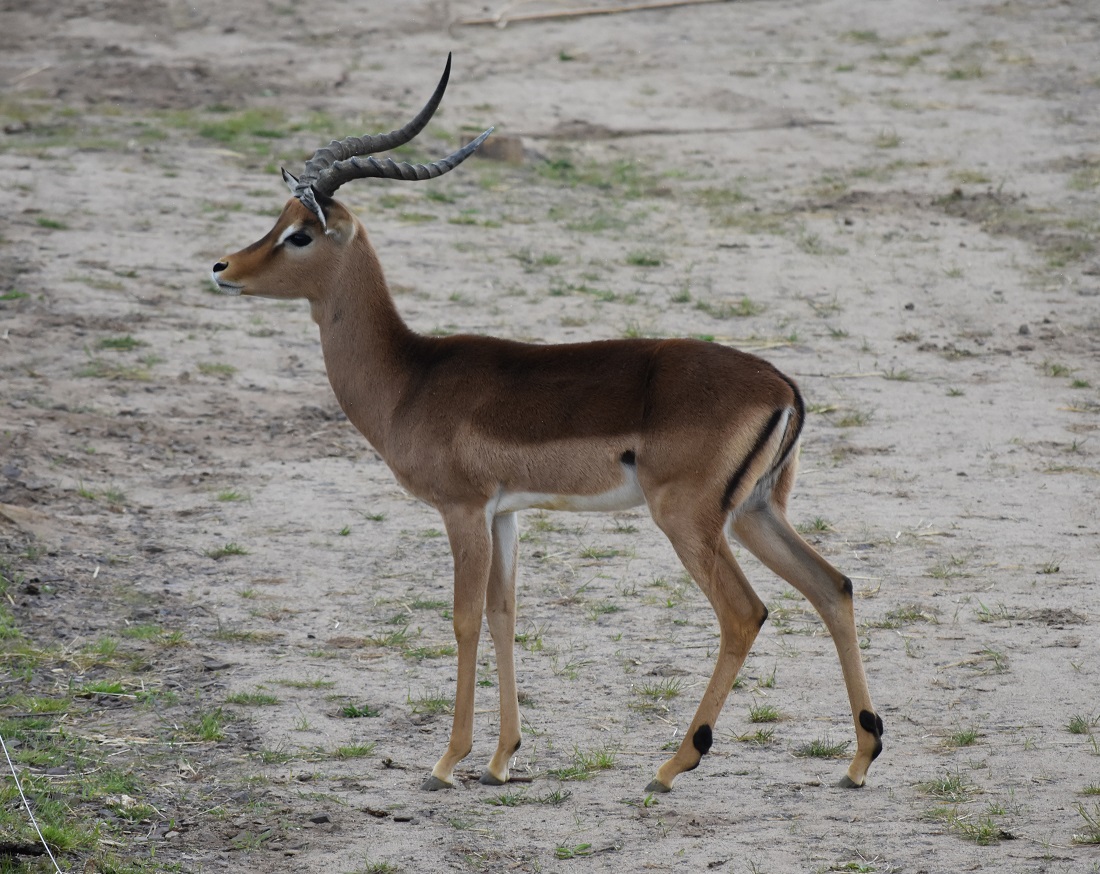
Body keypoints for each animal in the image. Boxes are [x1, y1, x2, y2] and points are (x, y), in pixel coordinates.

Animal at [210, 55, 883, 794]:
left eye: (299, 232)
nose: (222, 267)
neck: (411, 377)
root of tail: (782, 384)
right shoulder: (506, 514)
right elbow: (505, 616)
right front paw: (503, 758)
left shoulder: (463, 510)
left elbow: (465, 619)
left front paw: (447, 762)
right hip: (756, 512)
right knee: (834, 586)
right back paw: (859, 759)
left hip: (689, 519)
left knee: (745, 612)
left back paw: (672, 764)